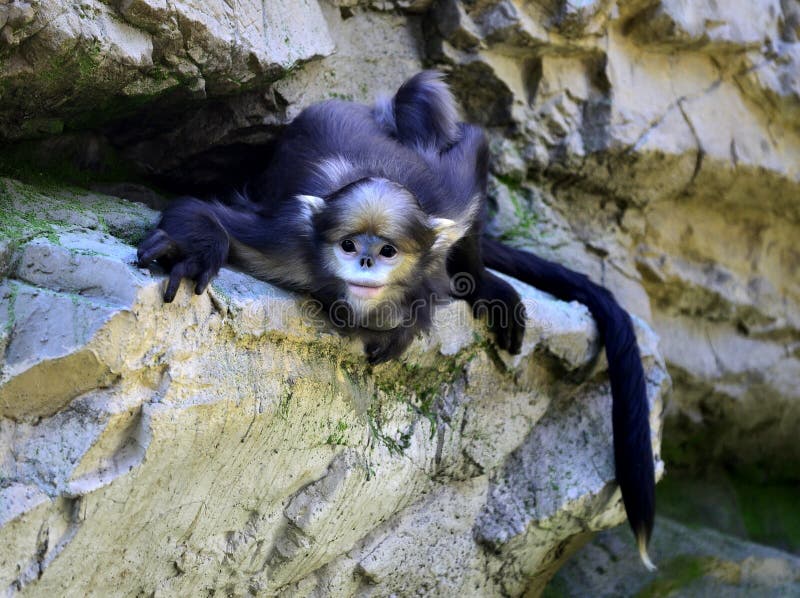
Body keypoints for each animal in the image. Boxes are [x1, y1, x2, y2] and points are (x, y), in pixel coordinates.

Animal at [136, 71, 656, 569]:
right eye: (349, 245)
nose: (366, 261)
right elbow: (201, 211)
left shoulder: (448, 202)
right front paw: (193, 250)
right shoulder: (289, 242)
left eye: (387, 250)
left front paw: (457, 295)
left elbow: (474, 148)